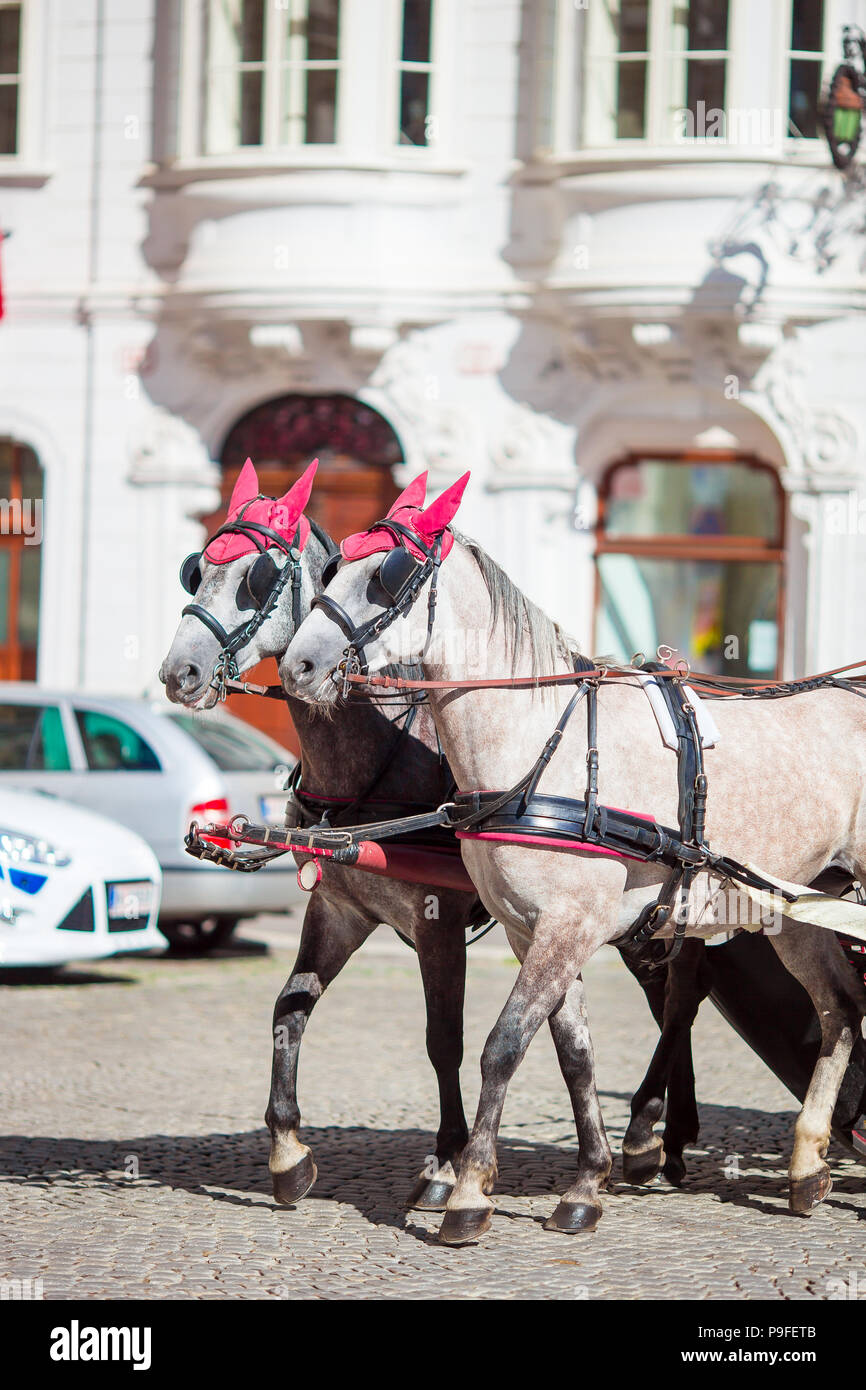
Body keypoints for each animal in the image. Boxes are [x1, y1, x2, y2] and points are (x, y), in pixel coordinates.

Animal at [281, 469, 866, 1243]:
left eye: (387, 576)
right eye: (330, 569)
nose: (300, 663)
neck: (537, 746)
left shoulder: (567, 925)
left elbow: (503, 1045)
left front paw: (470, 1193)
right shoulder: (534, 929)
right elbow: (573, 1050)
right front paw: (588, 1184)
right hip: (800, 904)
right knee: (839, 1010)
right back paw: (805, 1163)